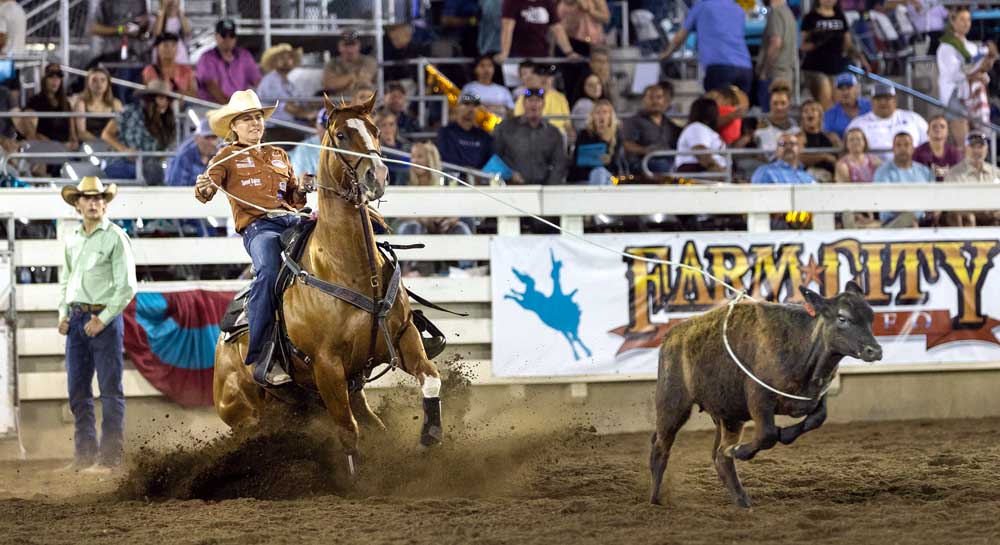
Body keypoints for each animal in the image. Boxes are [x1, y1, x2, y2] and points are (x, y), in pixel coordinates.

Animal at [649, 281, 882, 508]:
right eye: (843, 318)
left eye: (871, 317)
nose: (875, 351)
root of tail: (672, 336)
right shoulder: (759, 400)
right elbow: (767, 434)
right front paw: (739, 450)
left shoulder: (817, 397)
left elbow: (816, 418)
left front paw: (784, 434)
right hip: (672, 405)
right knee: (661, 448)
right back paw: (655, 498)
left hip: (730, 415)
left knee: (719, 457)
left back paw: (741, 498)